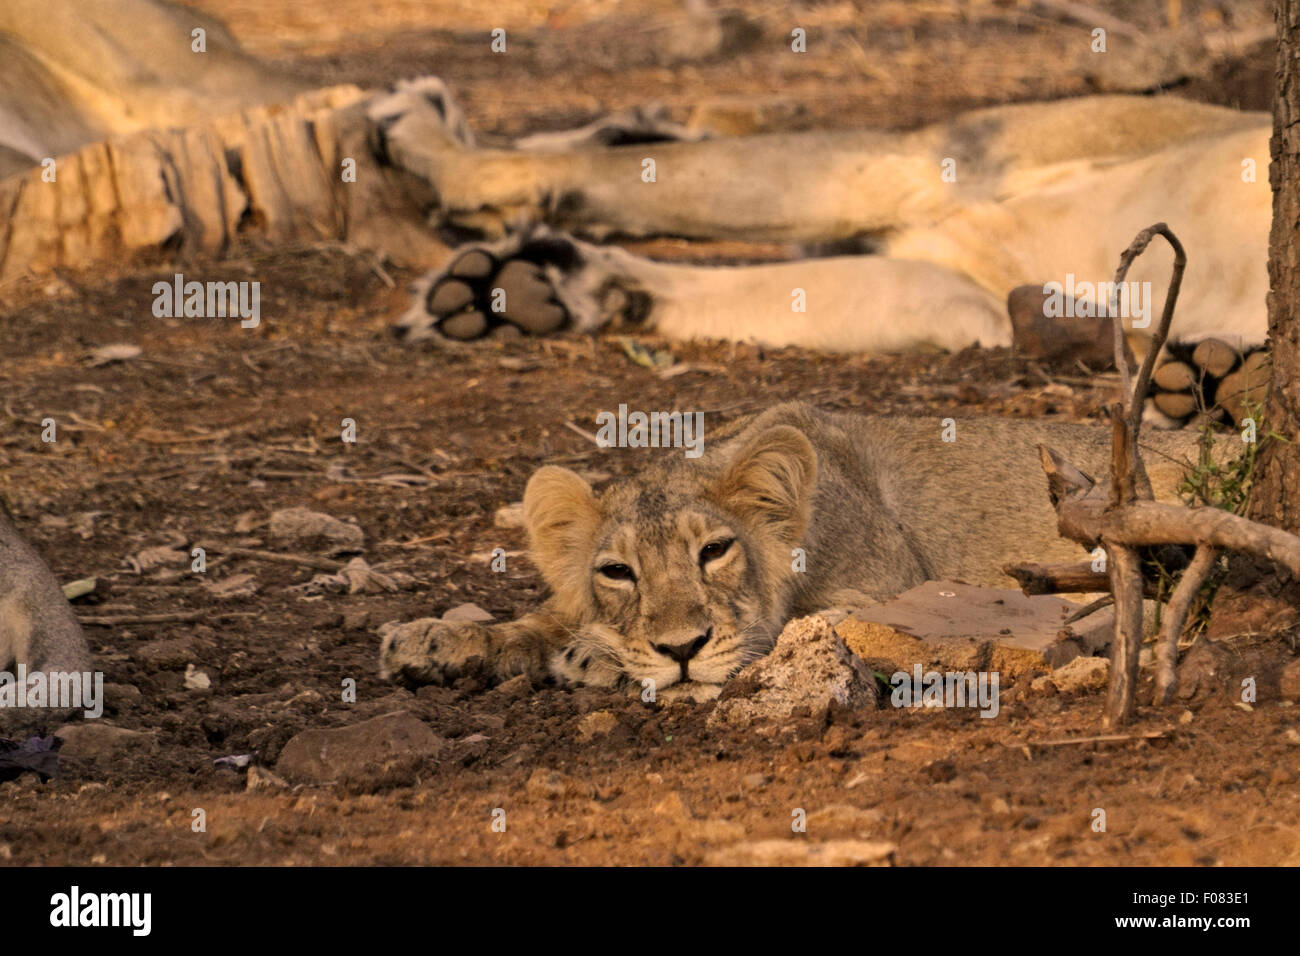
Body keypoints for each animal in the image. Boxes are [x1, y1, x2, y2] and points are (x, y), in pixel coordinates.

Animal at [379, 403, 1203, 701]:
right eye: (617, 571)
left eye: (715, 551)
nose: (680, 650)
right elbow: (534, 618)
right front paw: (436, 638)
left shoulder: (897, 588)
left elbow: (795, 629)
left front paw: (597, 655)